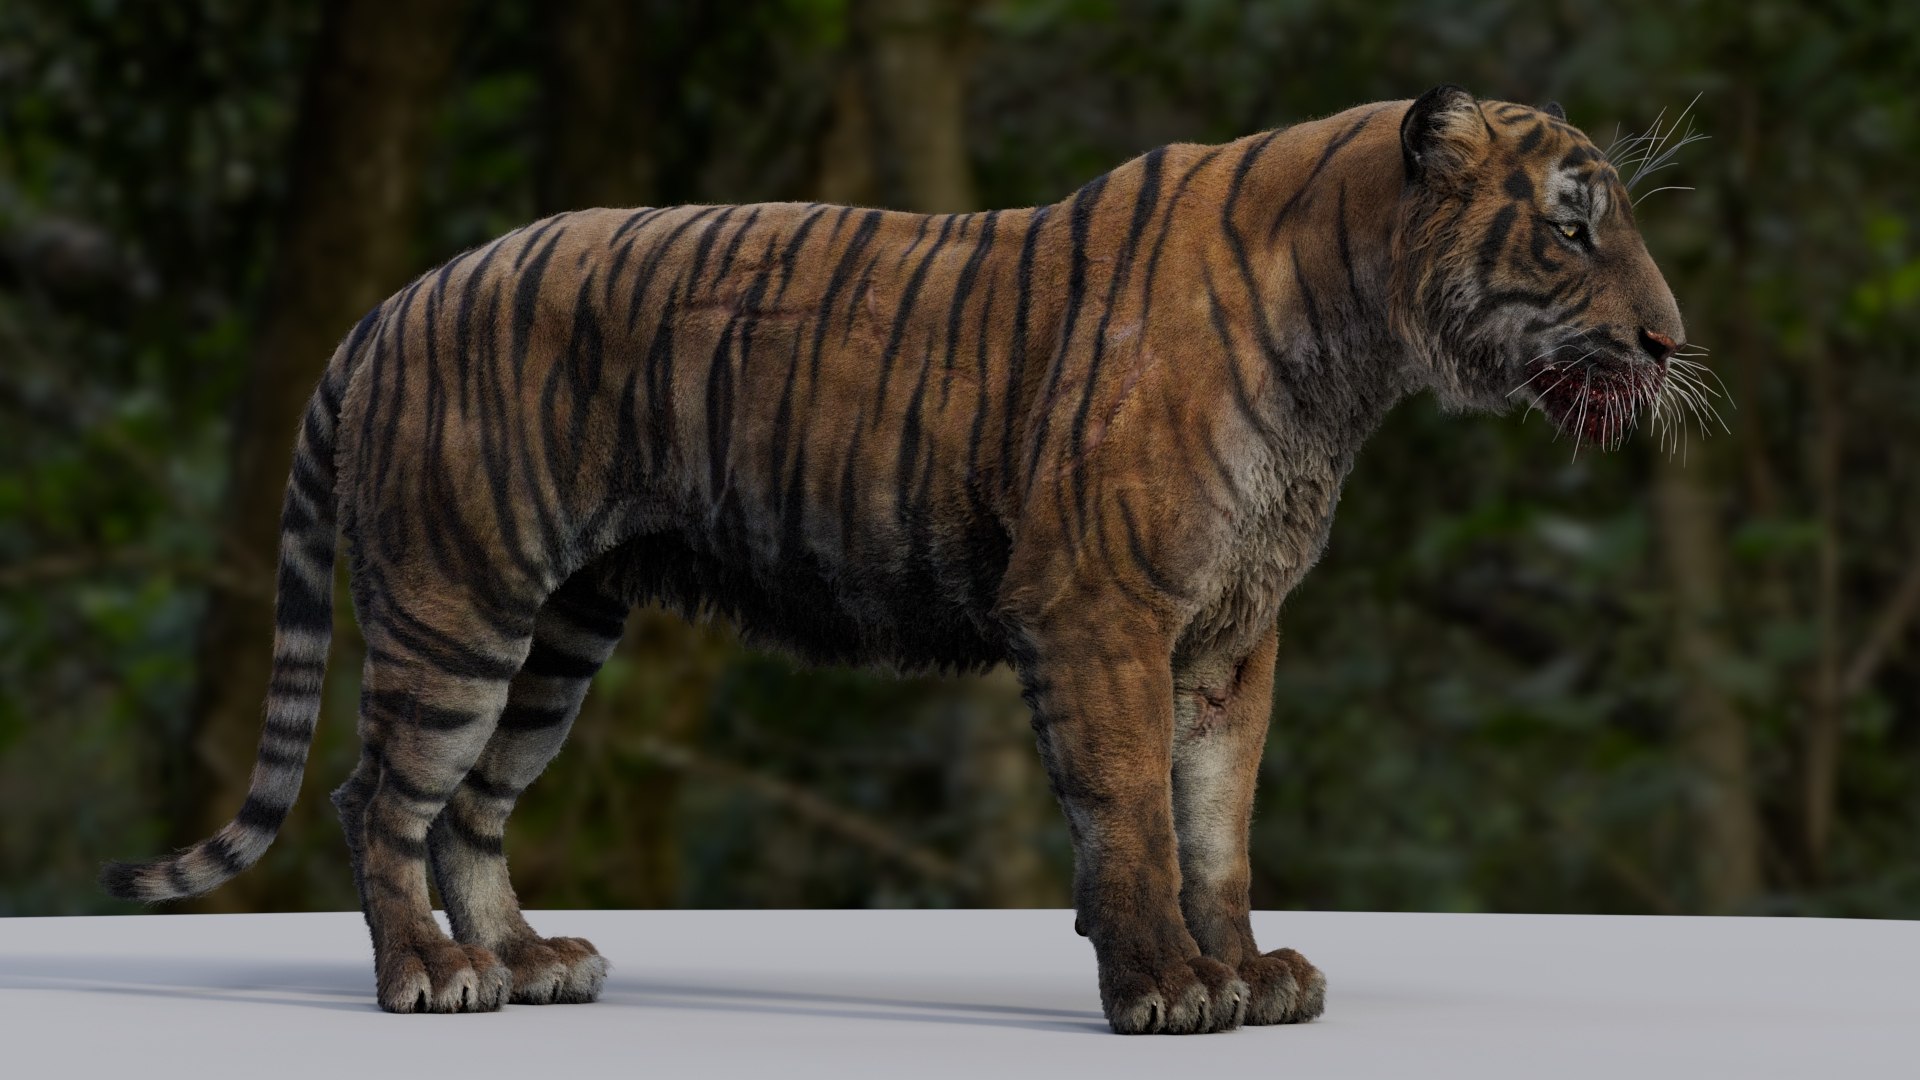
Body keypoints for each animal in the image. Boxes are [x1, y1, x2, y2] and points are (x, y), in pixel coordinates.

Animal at [103, 85, 1688, 1034]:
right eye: (1571, 228)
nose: (1673, 341)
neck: (1352, 355)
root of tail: (392, 302)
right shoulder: (1102, 613)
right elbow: (1134, 813)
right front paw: (1167, 990)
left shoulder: (1235, 639)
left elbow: (1218, 822)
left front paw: (1247, 971)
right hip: (460, 605)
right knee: (381, 792)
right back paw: (434, 978)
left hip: (556, 634)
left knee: (472, 807)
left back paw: (530, 961)